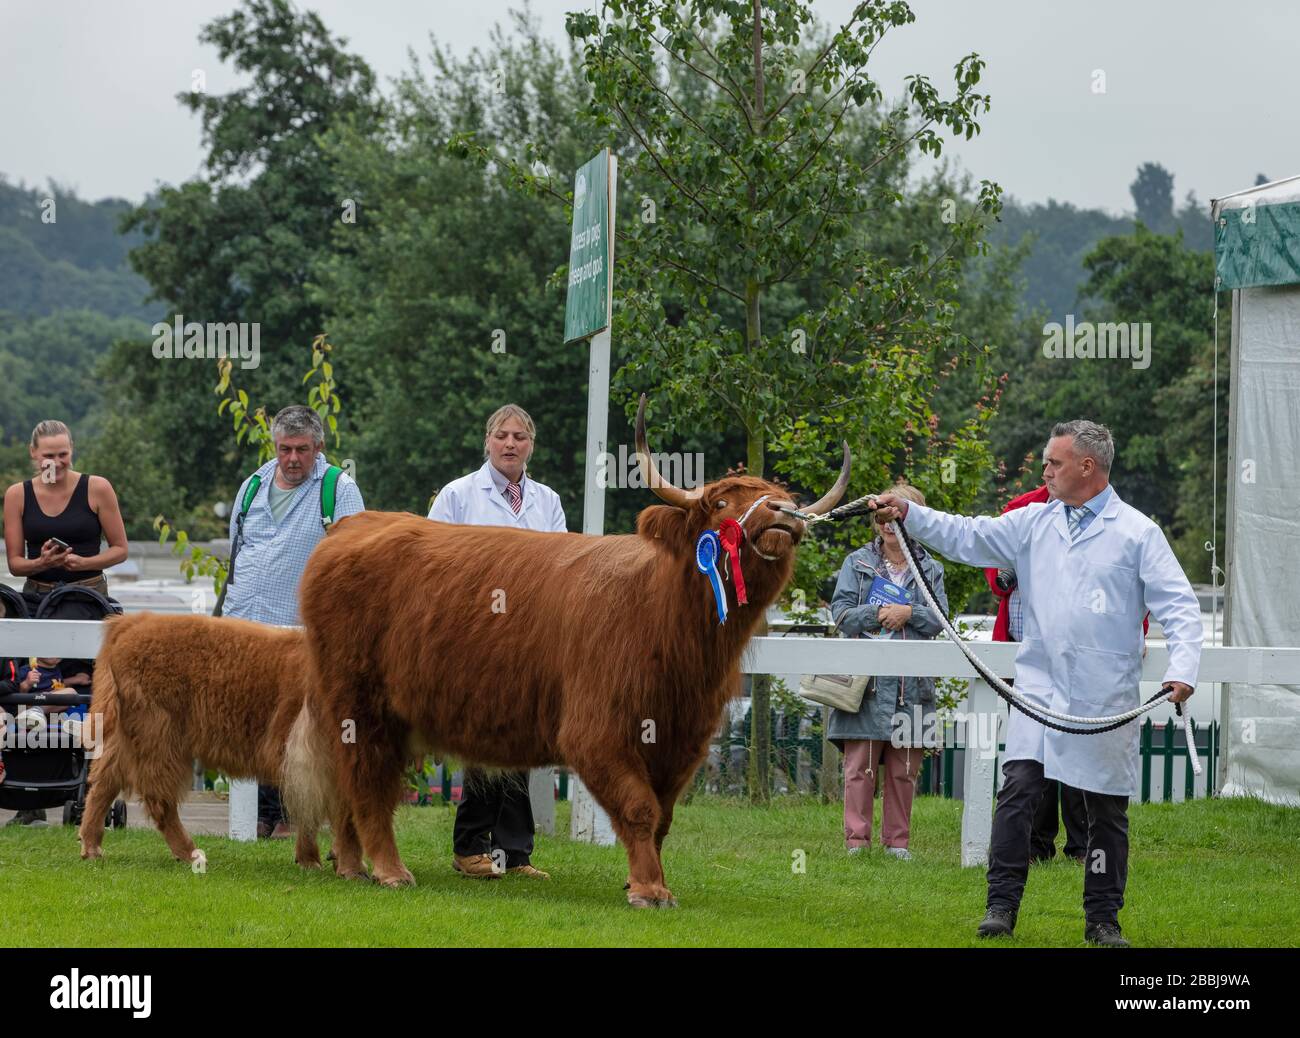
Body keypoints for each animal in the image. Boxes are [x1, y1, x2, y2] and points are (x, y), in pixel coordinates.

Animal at [78, 612, 337, 872]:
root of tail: (134, 620)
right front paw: (313, 860)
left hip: (129, 740)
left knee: (104, 783)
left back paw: (91, 847)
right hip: (160, 741)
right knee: (158, 798)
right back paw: (190, 853)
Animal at [284, 396, 849, 906]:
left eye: (779, 494)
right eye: (719, 503)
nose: (780, 514)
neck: (669, 624)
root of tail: (352, 527)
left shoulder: (684, 737)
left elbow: (663, 816)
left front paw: (648, 879)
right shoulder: (596, 730)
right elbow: (639, 808)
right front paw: (648, 889)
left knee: (348, 786)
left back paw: (352, 866)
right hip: (359, 704)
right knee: (366, 784)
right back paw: (389, 869)